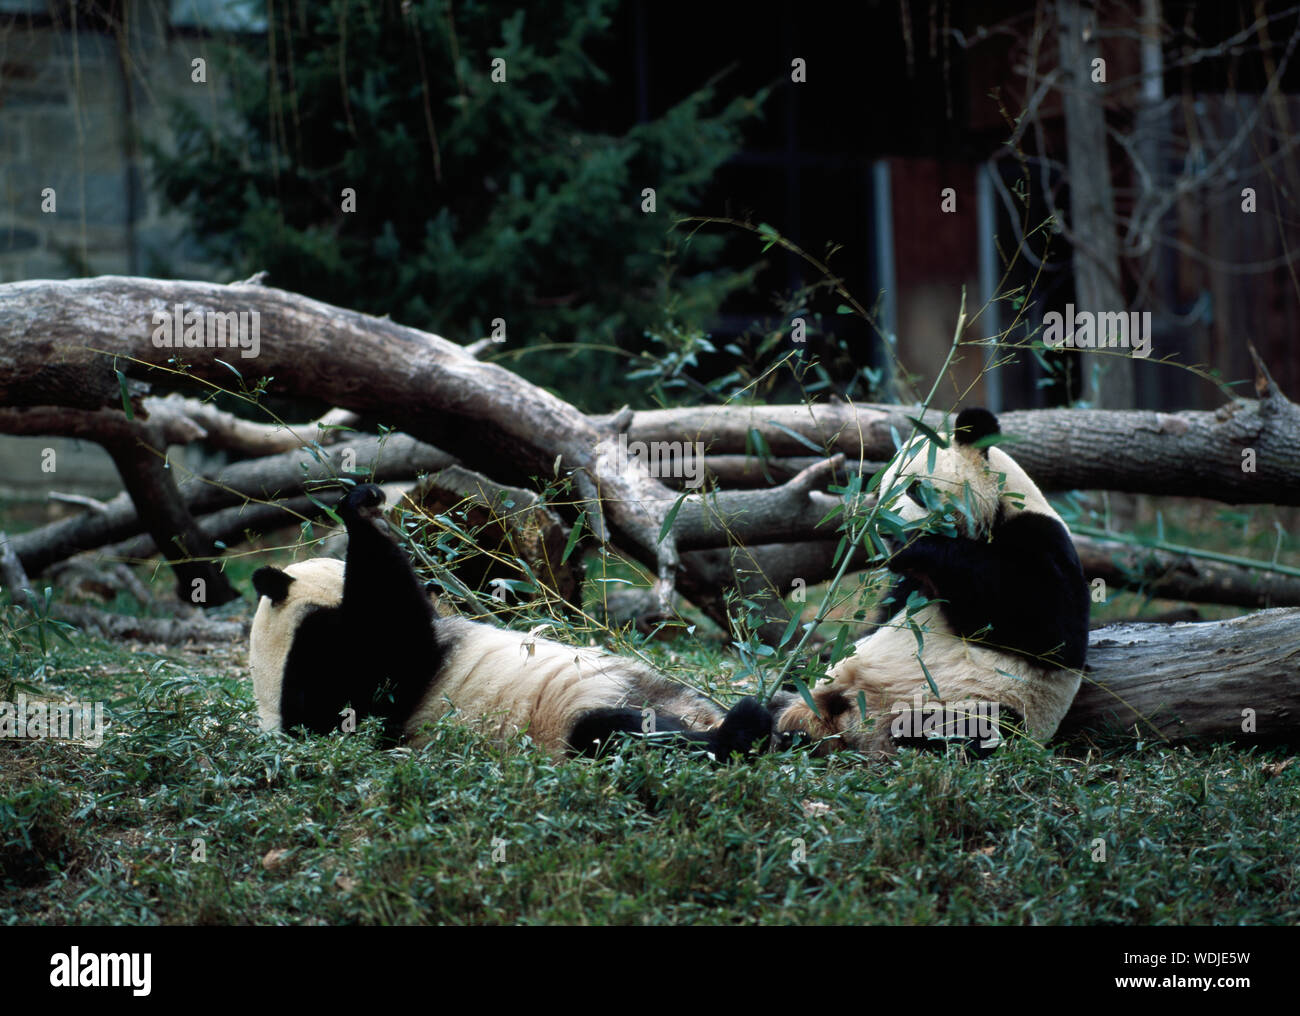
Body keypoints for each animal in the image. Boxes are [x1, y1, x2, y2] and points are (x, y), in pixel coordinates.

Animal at [248, 483, 774, 760]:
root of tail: (700, 712)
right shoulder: (326, 666)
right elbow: (390, 644)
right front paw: (359, 507)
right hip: (572, 724)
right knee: (621, 734)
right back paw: (742, 729)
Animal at [773, 407, 1089, 755]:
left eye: (914, 489)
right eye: (882, 493)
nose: (886, 531)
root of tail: (848, 721)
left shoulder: (1040, 538)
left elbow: (1047, 628)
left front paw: (915, 544)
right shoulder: (908, 587)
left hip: (980, 700)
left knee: (969, 728)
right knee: (790, 688)